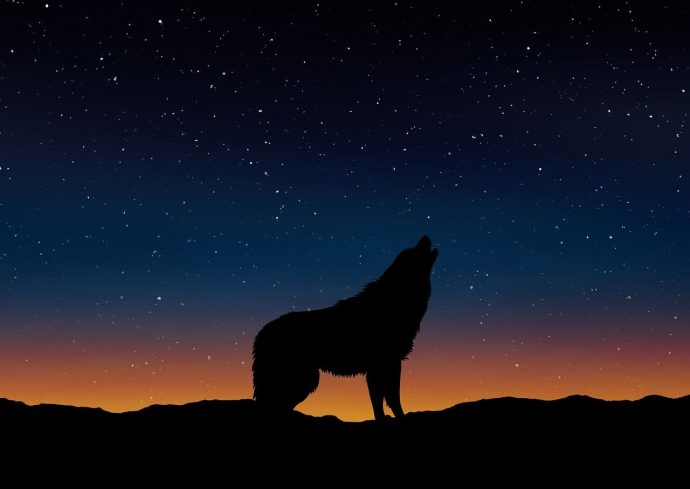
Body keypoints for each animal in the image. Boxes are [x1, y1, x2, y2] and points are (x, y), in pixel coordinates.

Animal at [252, 235, 438, 420]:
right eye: (412, 250)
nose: (425, 236)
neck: (395, 297)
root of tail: (262, 332)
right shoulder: (387, 363)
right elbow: (393, 398)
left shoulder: (376, 369)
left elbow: (378, 403)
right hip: (302, 380)